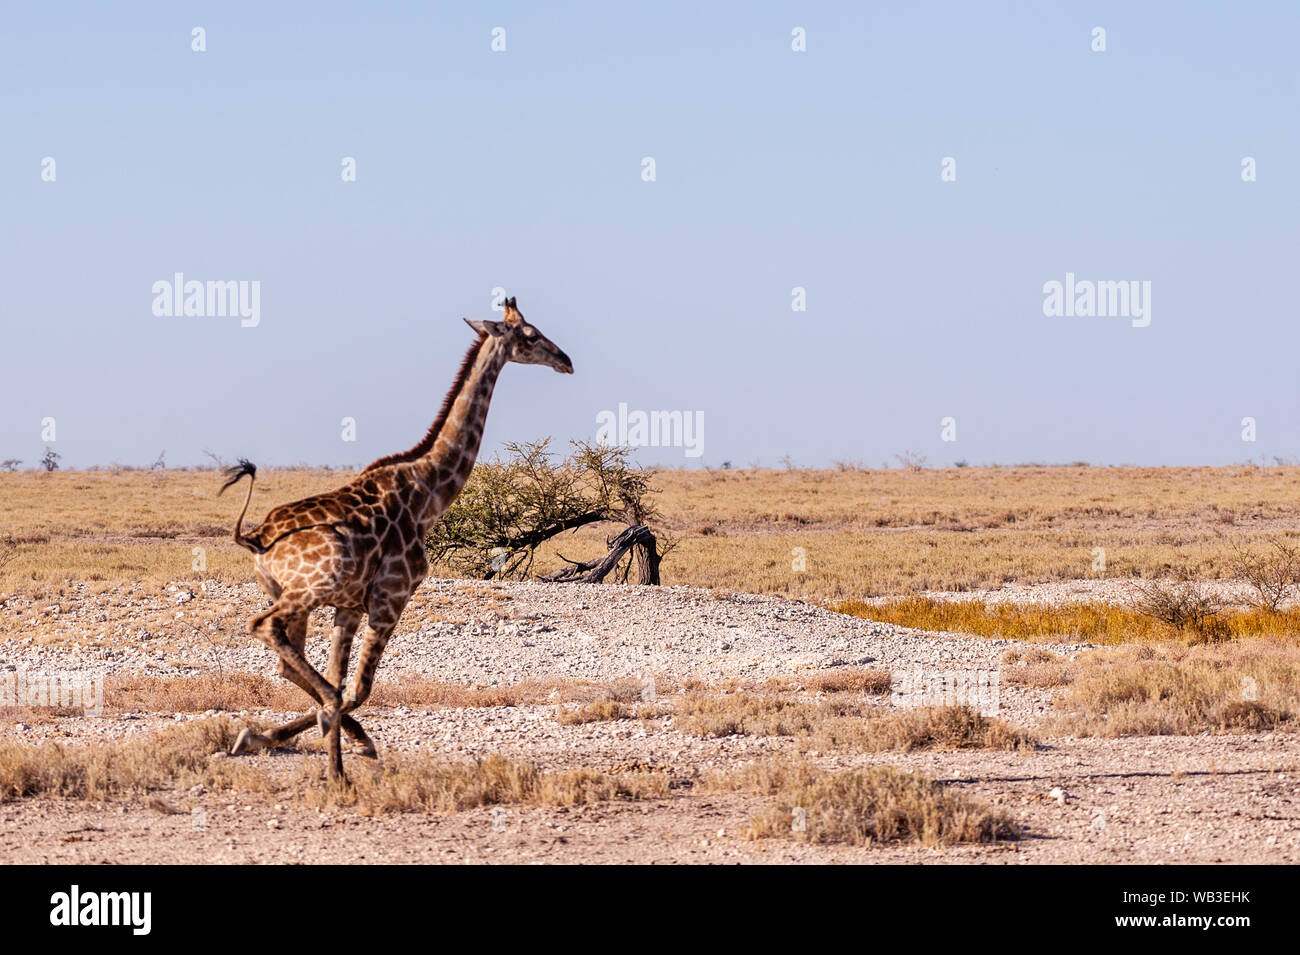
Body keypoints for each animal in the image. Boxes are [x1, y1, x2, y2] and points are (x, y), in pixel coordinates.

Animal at [220, 297, 572, 781]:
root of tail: (258, 539)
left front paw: (335, 753)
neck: (428, 494)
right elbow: (357, 689)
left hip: (294, 595)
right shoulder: (391, 597)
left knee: (286, 658)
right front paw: (339, 766)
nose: (566, 361)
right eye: (532, 335)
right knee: (265, 629)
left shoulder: (350, 606)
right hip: (309, 589)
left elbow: (341, 680)